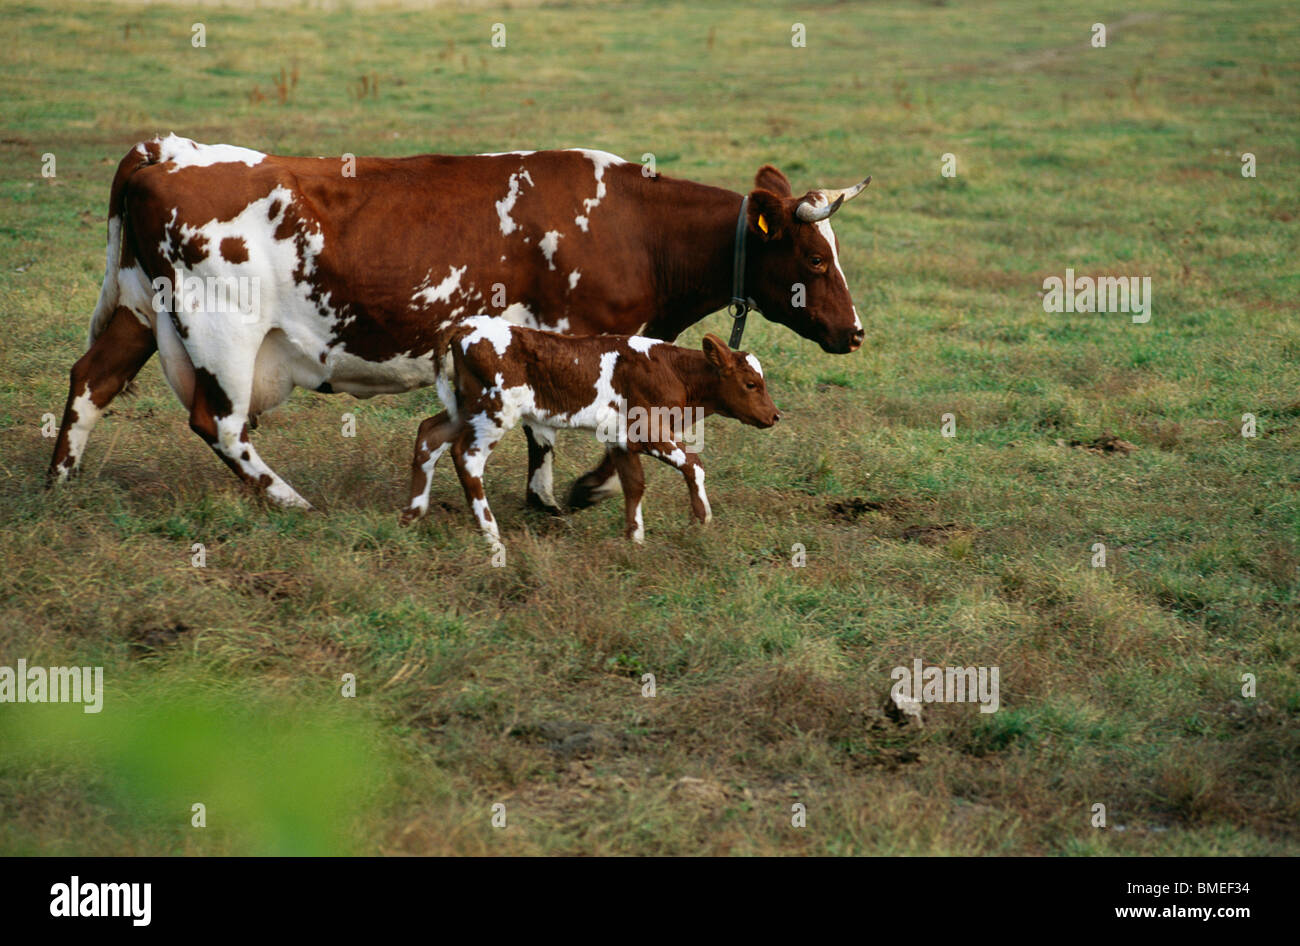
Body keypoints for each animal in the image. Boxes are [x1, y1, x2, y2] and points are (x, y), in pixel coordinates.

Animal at [46, 135, 868, 511]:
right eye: (815, 259)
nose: (854, 331)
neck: (633, 225)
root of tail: (170, 151)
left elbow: (546, 428)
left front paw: (548, 496)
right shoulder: (580, 334)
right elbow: (587, 427)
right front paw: (575, 492)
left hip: (137, 311)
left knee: (91, 380)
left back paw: (59, 483)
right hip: (224, 336)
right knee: (216, 423)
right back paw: (291, 501)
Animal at [402, 320, 779, 554]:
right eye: (751, 384)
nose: (775, 415)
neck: (671, 369)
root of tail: (466, 326)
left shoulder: (622, 439)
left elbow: (634, 484)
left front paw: (634, 540)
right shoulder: (650, 430)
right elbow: (694, 463)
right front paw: (702, 518)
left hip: (465, 406)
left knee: (429, 434)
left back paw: (412, 515)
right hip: (494, 411)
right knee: (467, 458)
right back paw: (492, 537)